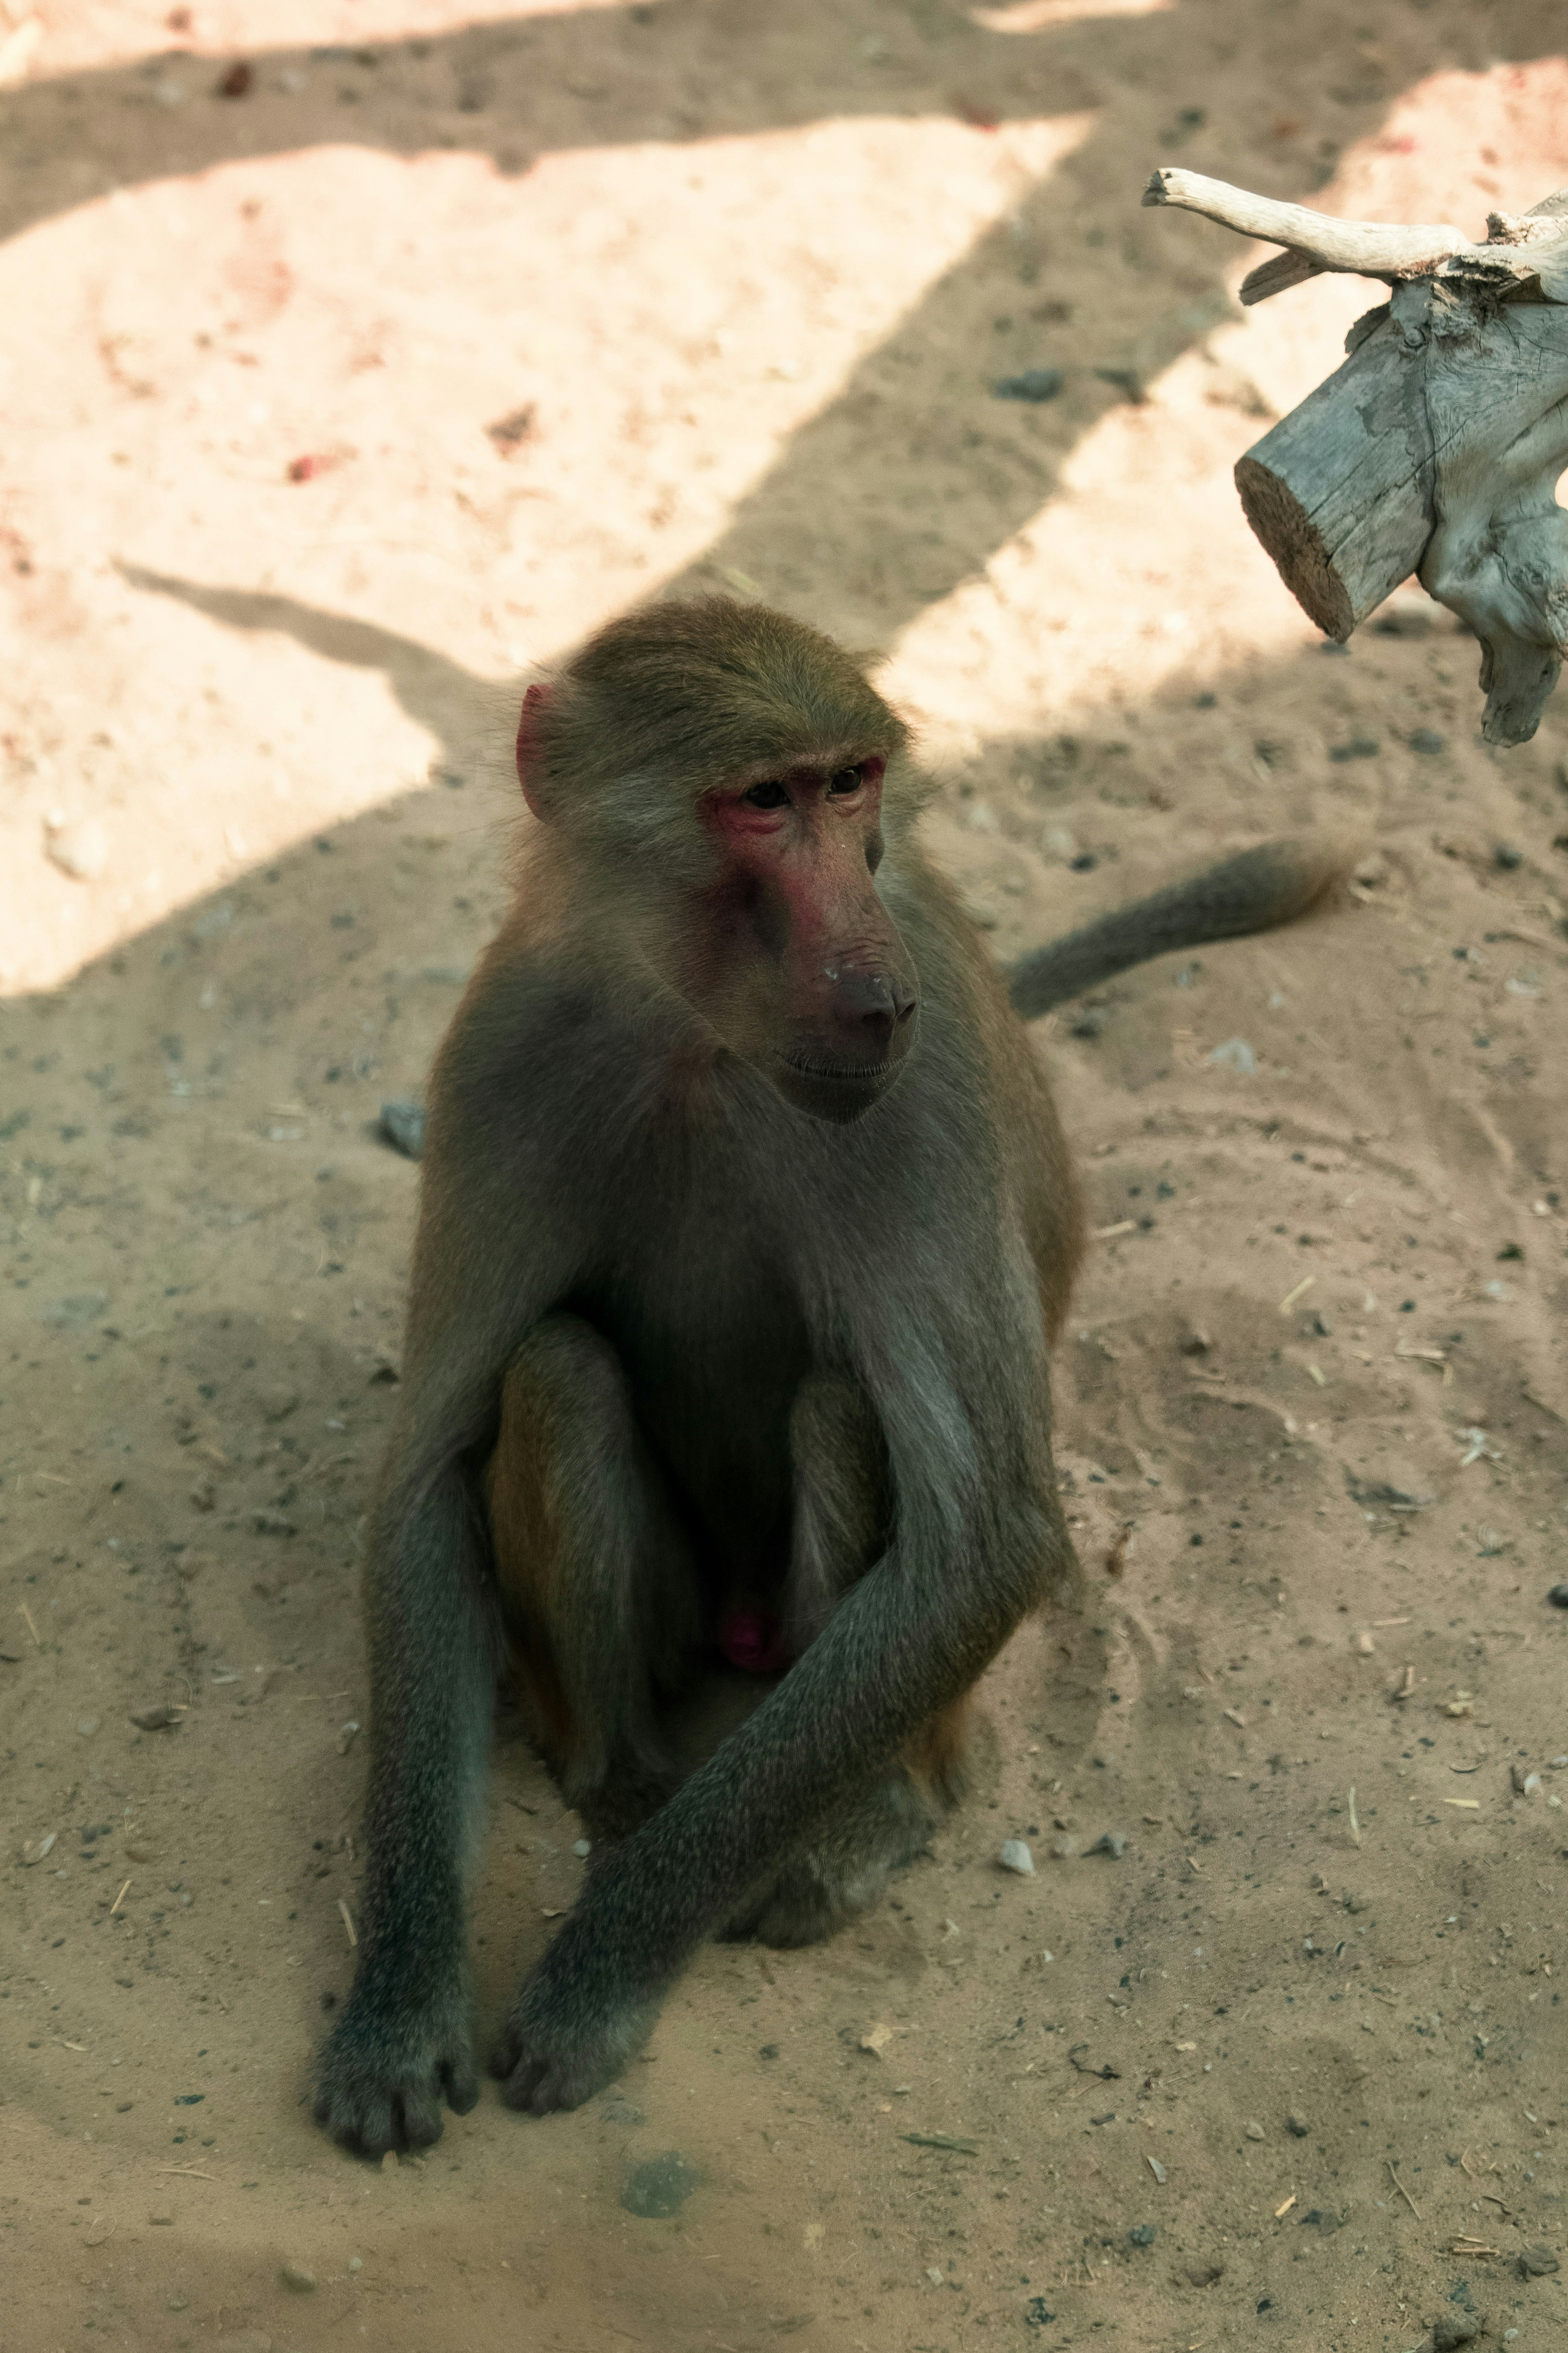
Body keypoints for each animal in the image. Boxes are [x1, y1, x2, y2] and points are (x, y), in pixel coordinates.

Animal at [312, 597, 1348, 2154]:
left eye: (849, 784)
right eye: (761, 801)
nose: (873, 987)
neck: (702, 1036)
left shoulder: (921, 1090)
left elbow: (987, 1537)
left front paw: (600, 1967)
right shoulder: (502, 1052)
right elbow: (427, 1479)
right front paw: (398, 1995)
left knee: (842, 1416)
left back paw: (868, 1819)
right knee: (559, 1371)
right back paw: (618, 1775)